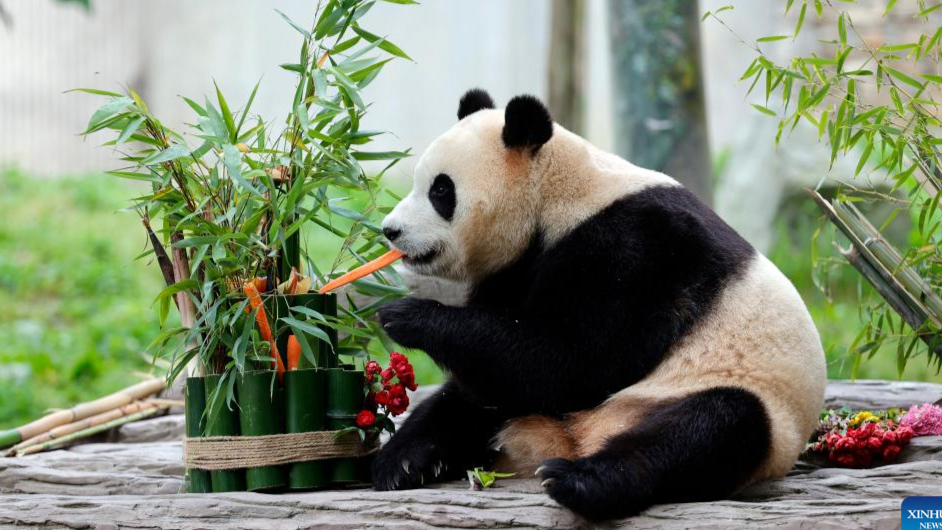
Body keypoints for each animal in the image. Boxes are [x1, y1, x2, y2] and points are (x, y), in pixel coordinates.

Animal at [373, 88, 827, 521]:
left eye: (441, 190)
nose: (390, 230)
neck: (556, 195)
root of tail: (576, 438)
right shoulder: (519, 268)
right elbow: (512, 362)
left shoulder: (638, 248)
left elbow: (571, 360)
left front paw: (406, 315)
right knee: (465, 400)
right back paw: (402, 461)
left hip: (740, 403)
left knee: (711, 427)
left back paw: (579, 481)